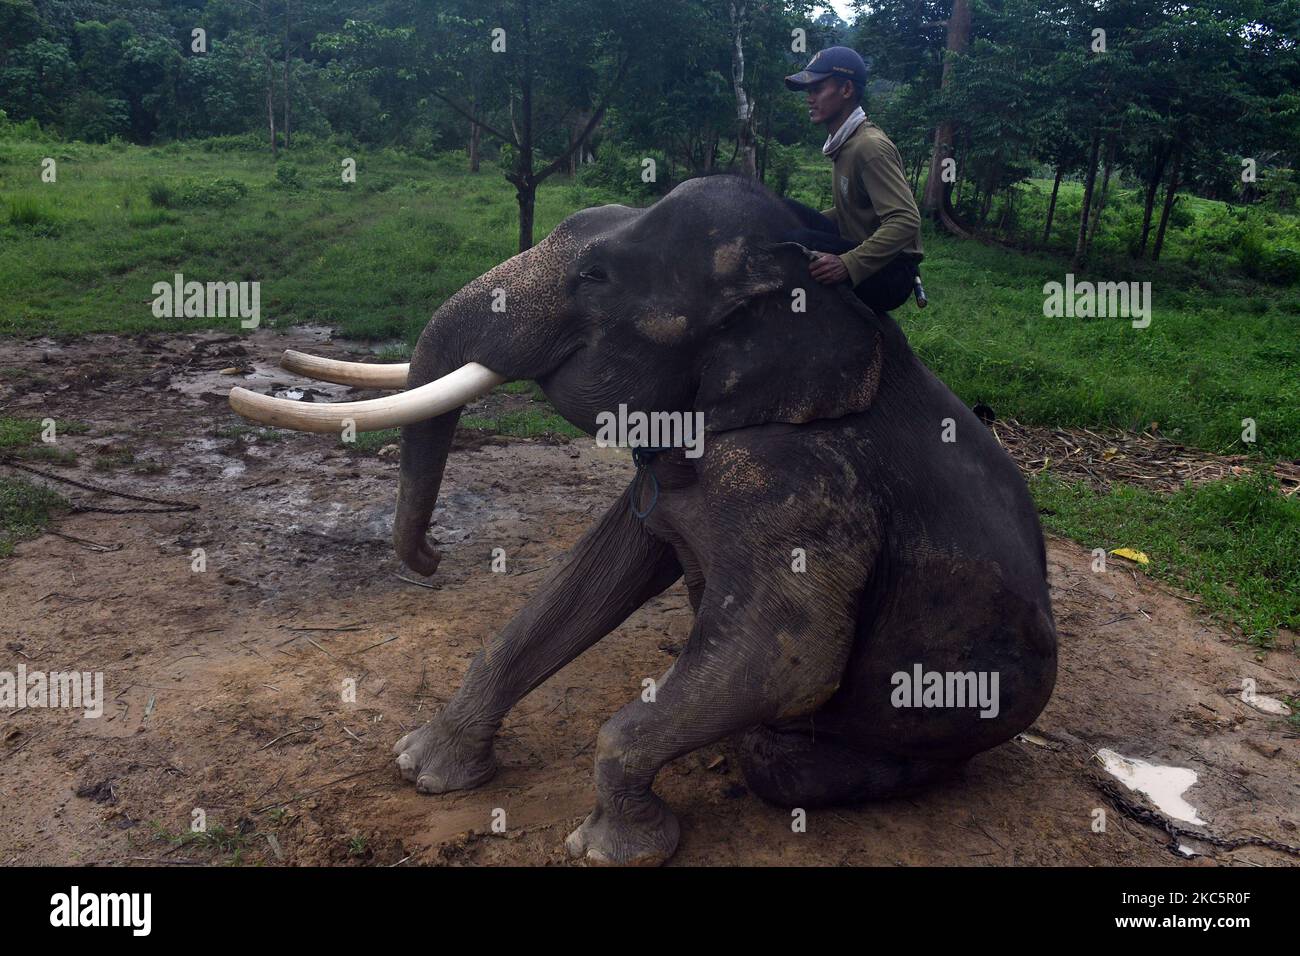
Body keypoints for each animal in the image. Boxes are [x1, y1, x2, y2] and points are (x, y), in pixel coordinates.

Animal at [229, 174, 1058, 866]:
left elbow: (788, 655)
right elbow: (603, 569)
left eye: (595, 278)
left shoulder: (809, 483)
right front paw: (422, 770)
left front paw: (608, 849)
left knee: (785, 759)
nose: (431, 557)